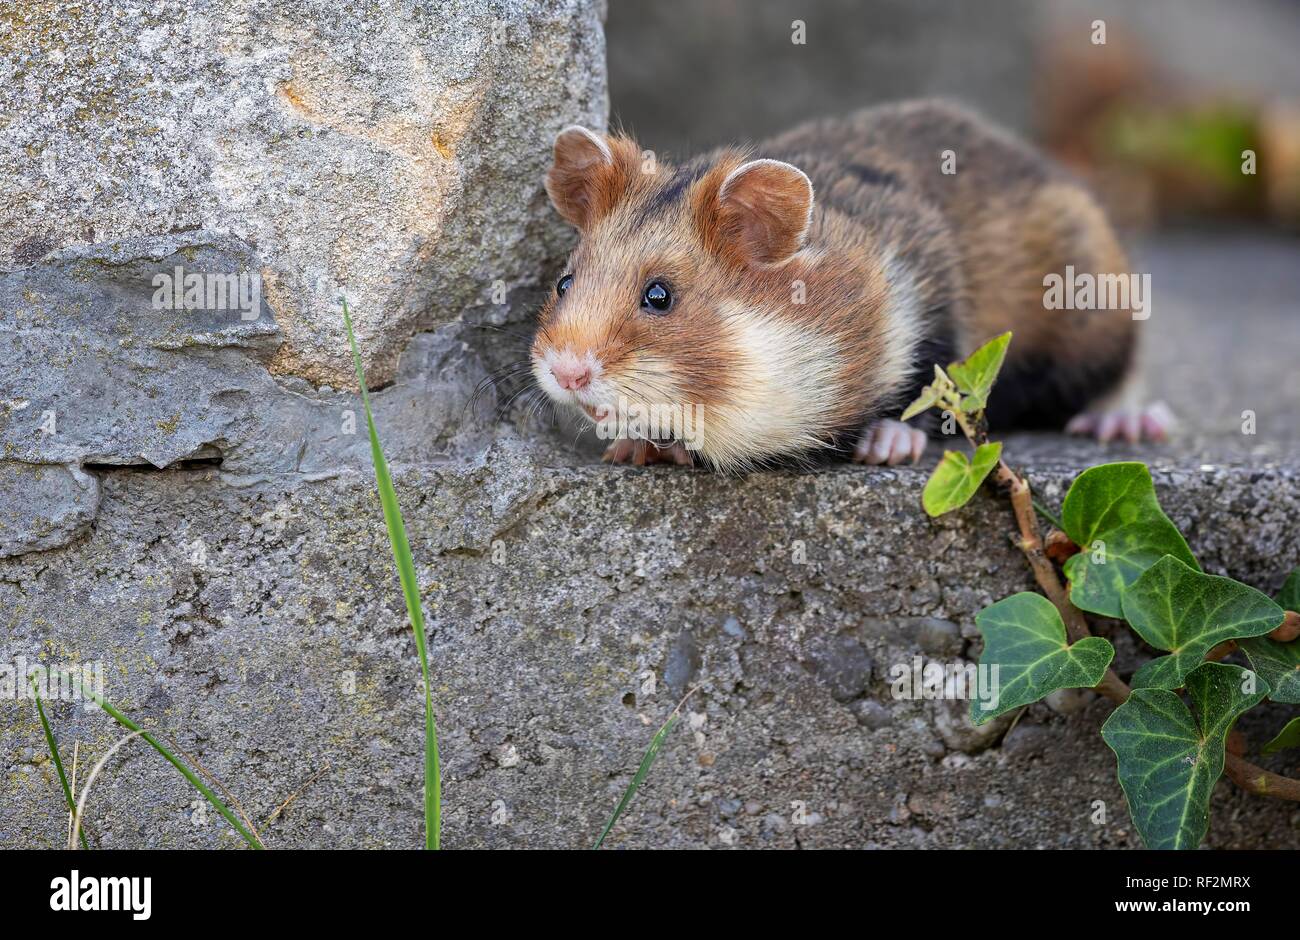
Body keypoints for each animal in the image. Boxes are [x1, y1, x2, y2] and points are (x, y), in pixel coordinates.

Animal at [530, 100, 1171, 471]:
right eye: (564, 282)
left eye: (660, 296)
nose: (566, 371)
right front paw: (634, 448)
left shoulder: (930, 287)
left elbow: (932, 374)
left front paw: (887, 446)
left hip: (1094, 301)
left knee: (1121, 371)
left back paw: (1126, 427)